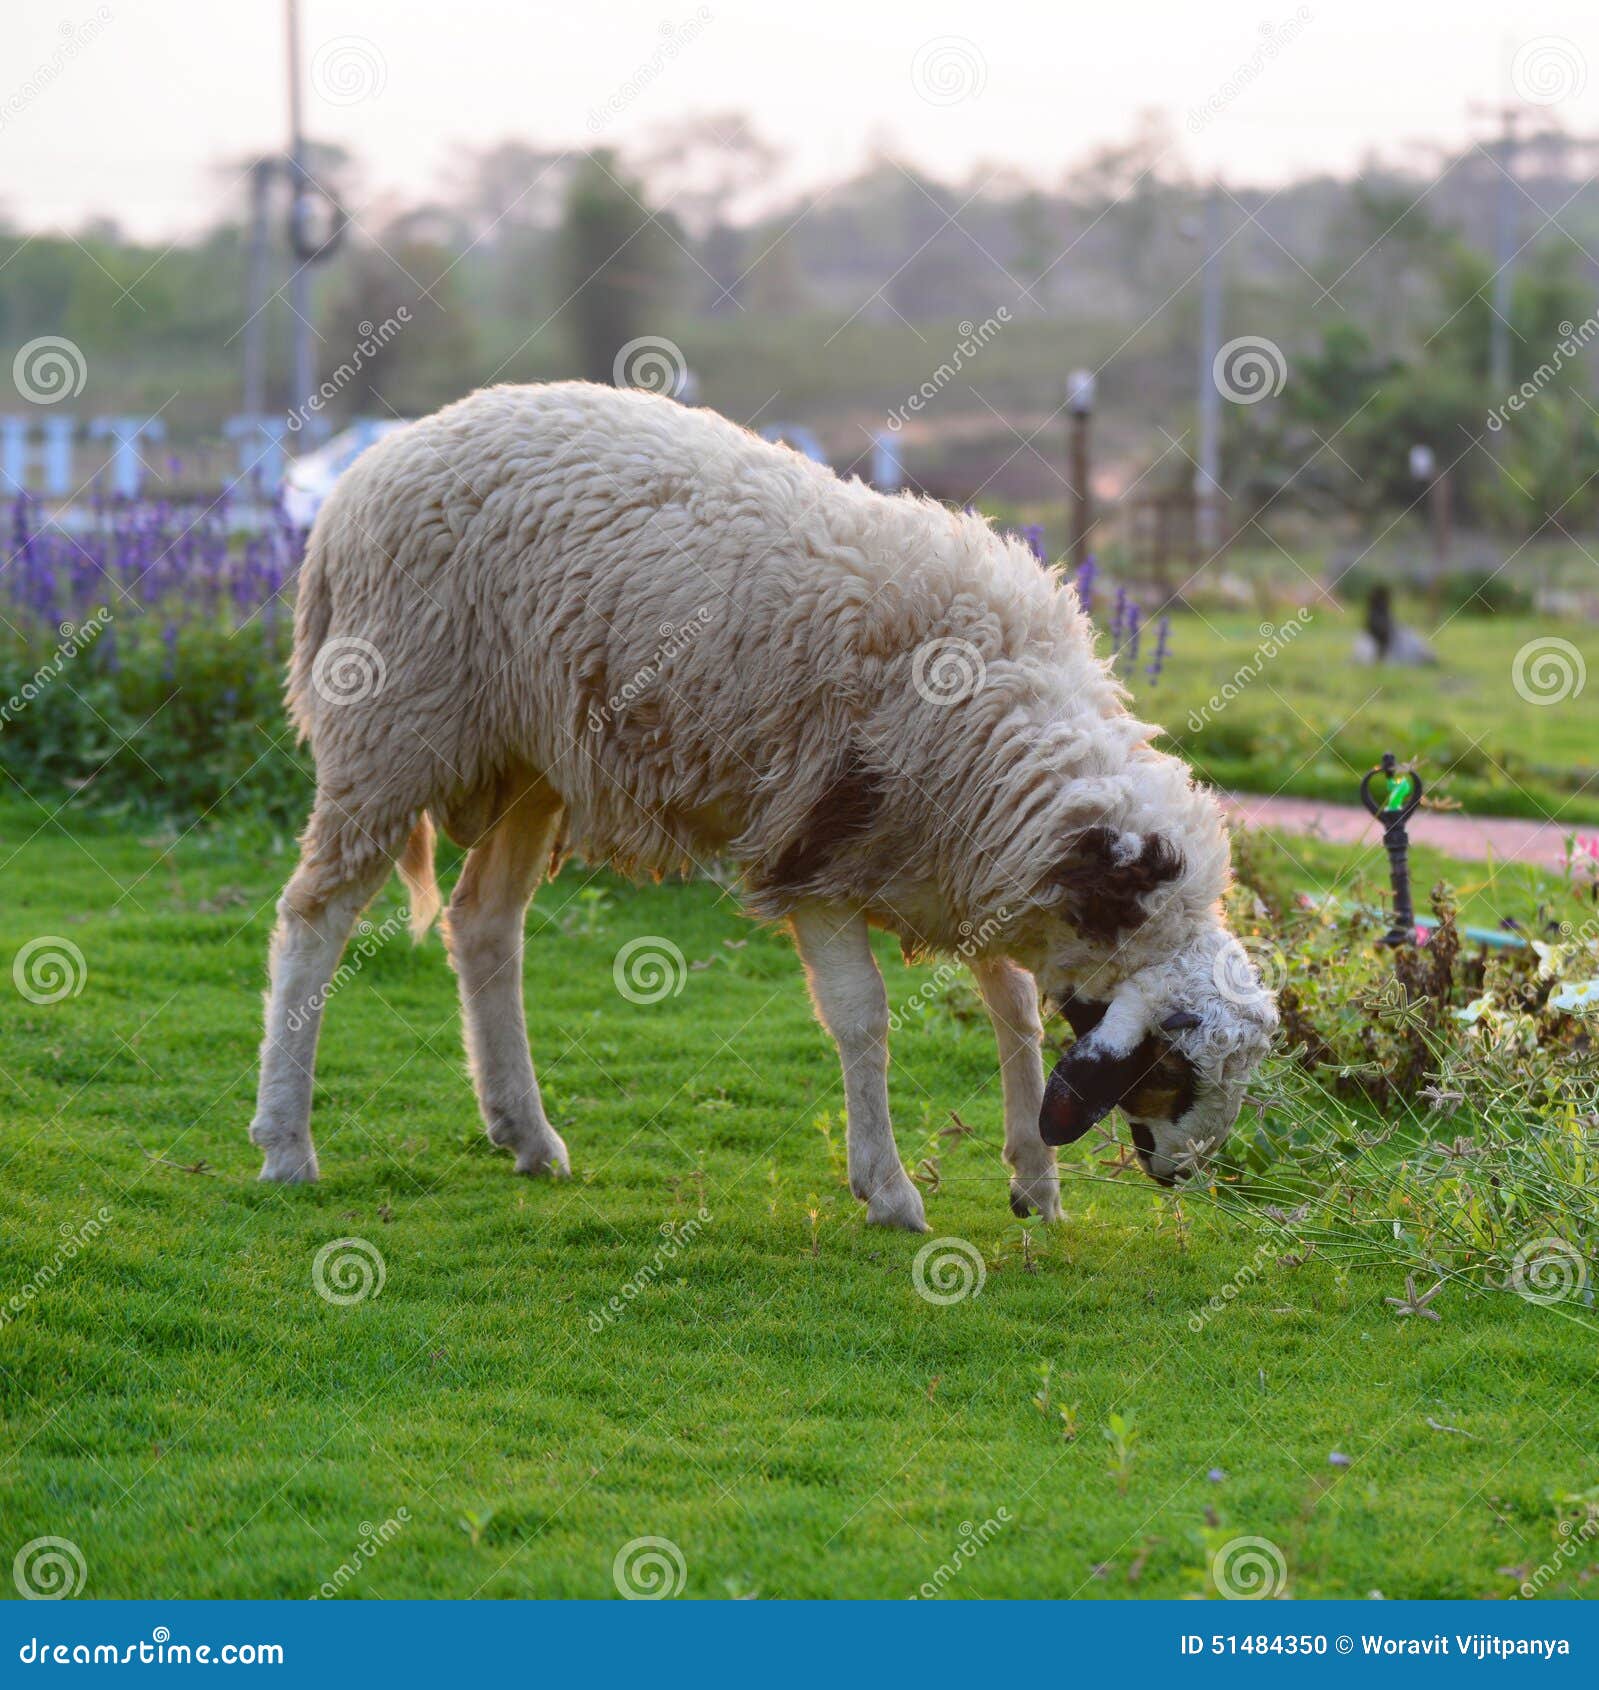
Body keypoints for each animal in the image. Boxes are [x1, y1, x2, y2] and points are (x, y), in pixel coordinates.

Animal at [249, 380, 1277, 1229]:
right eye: (1173, 1067)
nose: (1182, 1176)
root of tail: (364, 474)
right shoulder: (818, 858)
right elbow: (863, 1020)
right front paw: (888, 1190)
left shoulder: (969, 865)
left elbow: (1015, 1010)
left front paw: (1035, 1177)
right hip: (392, 730)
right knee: (313, 917)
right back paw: (286, 1142)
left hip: (531, 759)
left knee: (483, 924)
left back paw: (526, 1135)